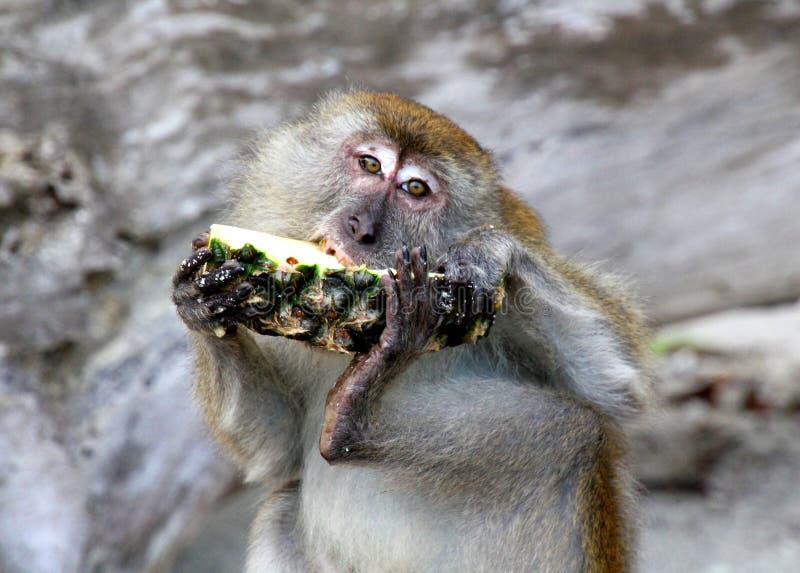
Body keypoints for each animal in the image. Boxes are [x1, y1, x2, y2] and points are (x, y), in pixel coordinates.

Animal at [173, 91, 651, 573]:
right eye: (370, 165)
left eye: (415, 189)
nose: (362, 227)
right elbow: (278, 452)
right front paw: (201, 302)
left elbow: (618, 388)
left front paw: (488, 250)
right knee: (281, 512)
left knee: (578, 432)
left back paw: (355, 415)